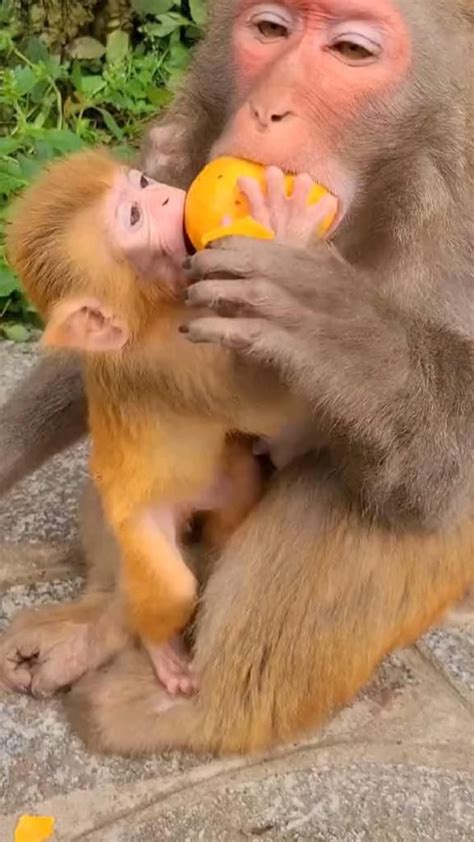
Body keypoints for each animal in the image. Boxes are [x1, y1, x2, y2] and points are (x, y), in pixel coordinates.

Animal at [5, 147, 329, 693]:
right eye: (134, 217)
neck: (152, 309)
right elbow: (266, 403)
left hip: (216, 486)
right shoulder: (169, 361)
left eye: (140, 182)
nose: (160, 193)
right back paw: (160, 645)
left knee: (236, 497)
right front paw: (288, 230)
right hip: (137, 527)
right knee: (173, 587)